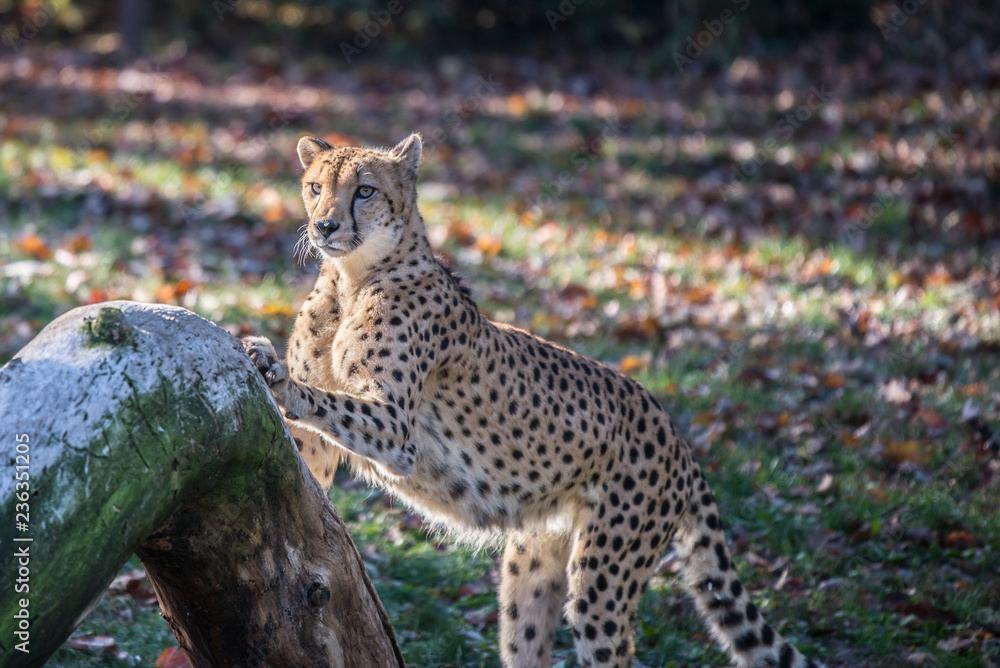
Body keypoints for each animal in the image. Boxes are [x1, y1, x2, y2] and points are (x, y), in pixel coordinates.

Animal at [242, 133, 824, 668]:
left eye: (364, 191)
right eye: (315, 188)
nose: (324, 226)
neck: (352, 279)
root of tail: (674, 430)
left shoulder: (397, 430)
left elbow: (329, 400)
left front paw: (275, 374)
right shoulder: (316, 454)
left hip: (602, 578)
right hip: (532, 568)